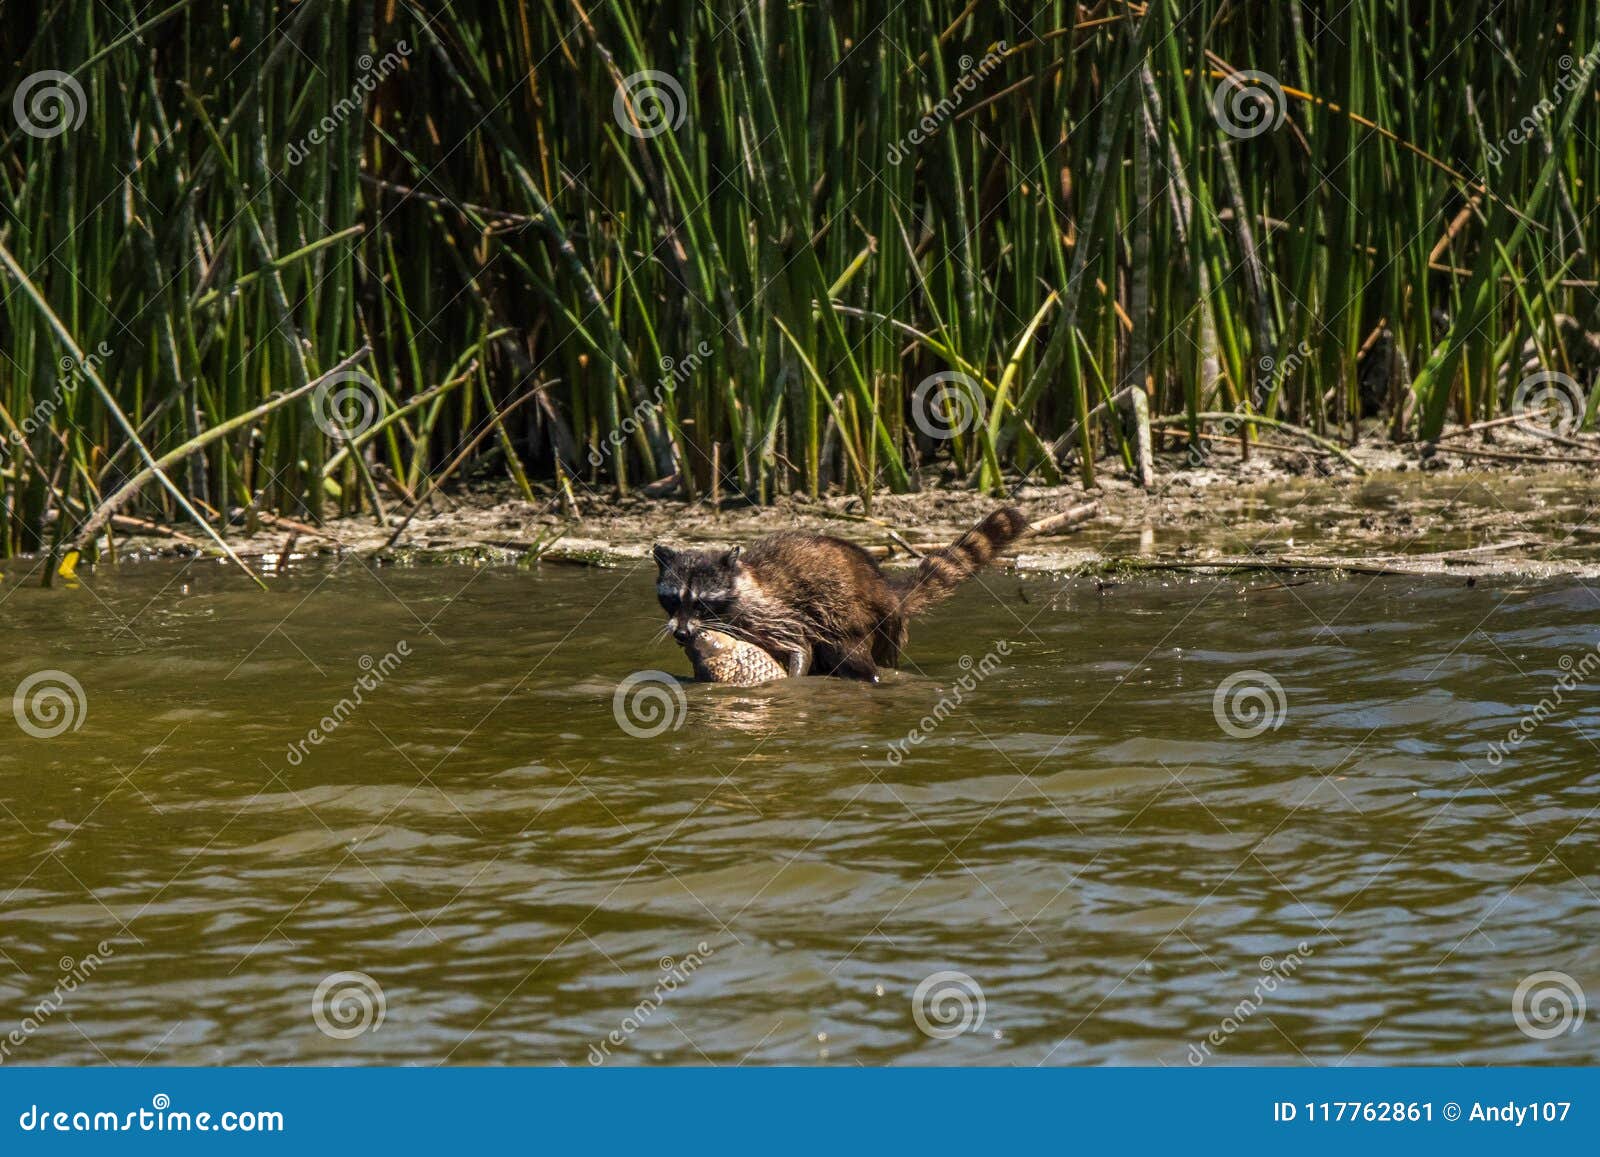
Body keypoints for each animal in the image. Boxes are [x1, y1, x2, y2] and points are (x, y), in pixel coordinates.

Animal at [651, 506, 1029, 682]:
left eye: (702, 602)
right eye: (672, 600)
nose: (682, 634)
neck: (743, 582)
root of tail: (885, 588)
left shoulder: (772, 613)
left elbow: (799, 645)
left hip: (857, 618)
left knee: (849, 653)